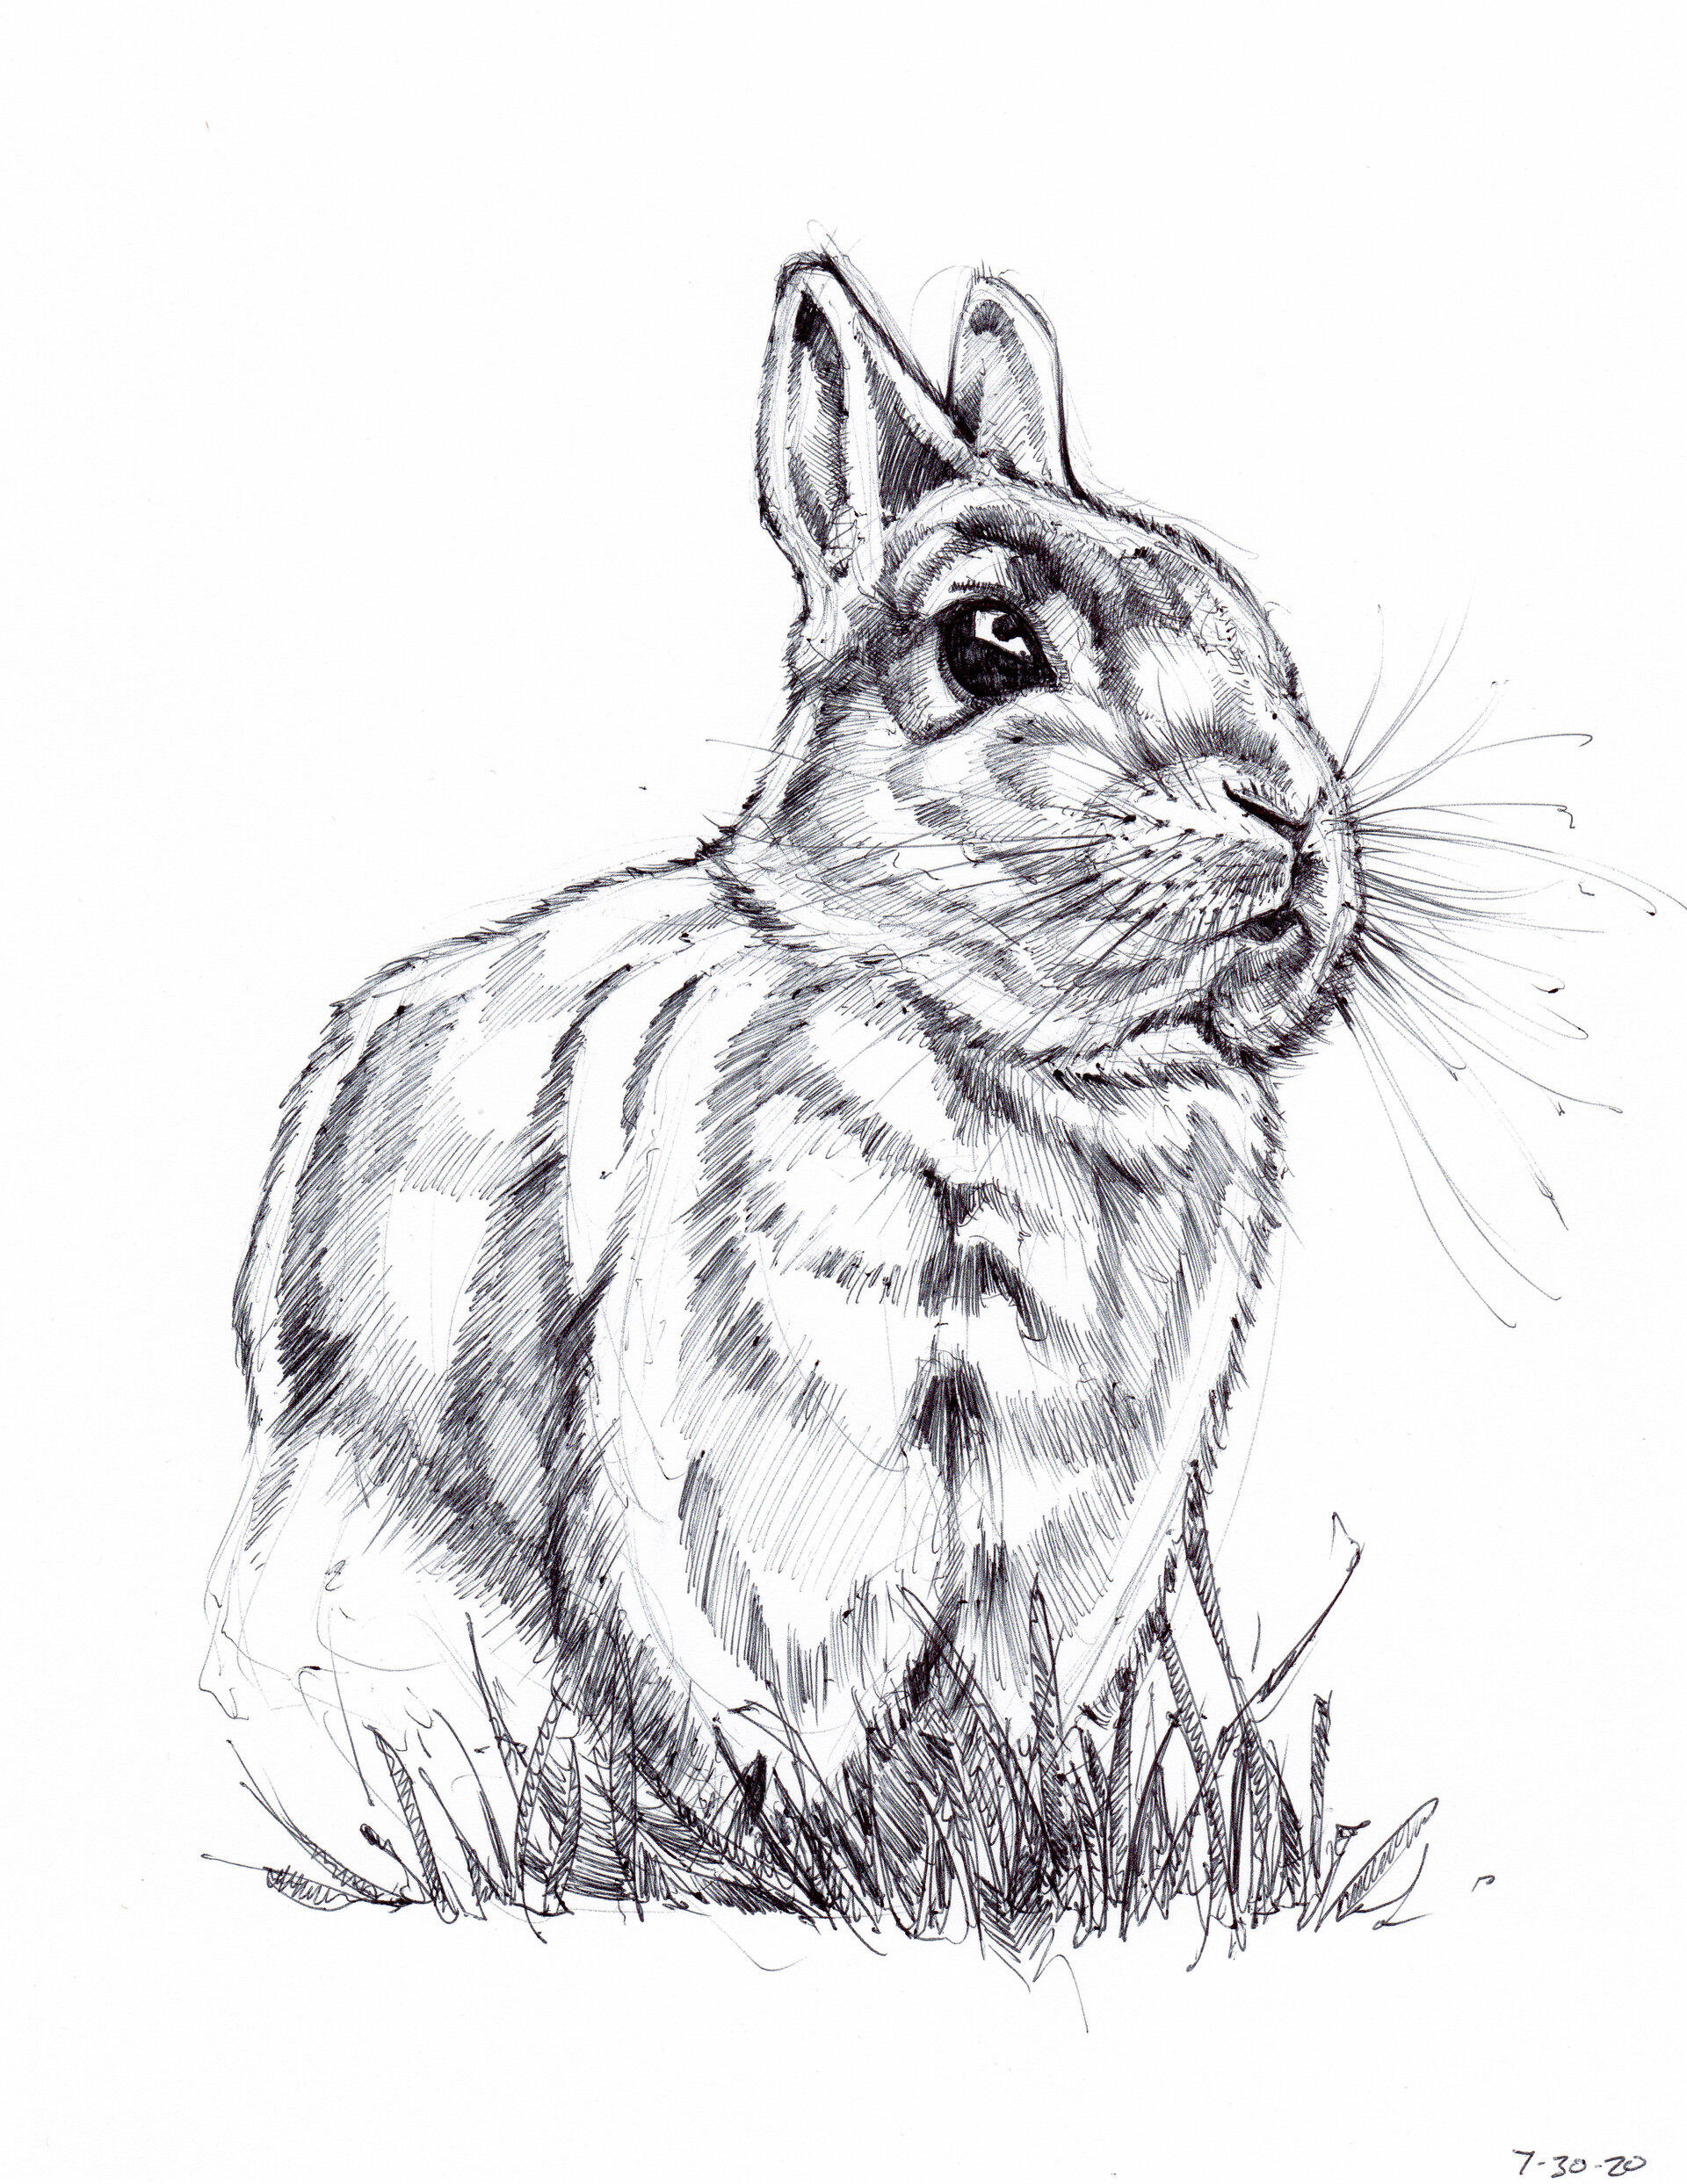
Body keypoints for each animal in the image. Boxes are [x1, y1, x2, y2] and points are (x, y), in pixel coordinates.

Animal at [204, 252, 1361, 1915]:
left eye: (1260, 634)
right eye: (987, 643)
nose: (1290, 815)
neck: (998, 1053)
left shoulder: (1079, 1531)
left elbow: (1019, 1709)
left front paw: (1005, 1848)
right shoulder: (757, 1489)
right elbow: (774, 1696)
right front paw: (827, 1860)